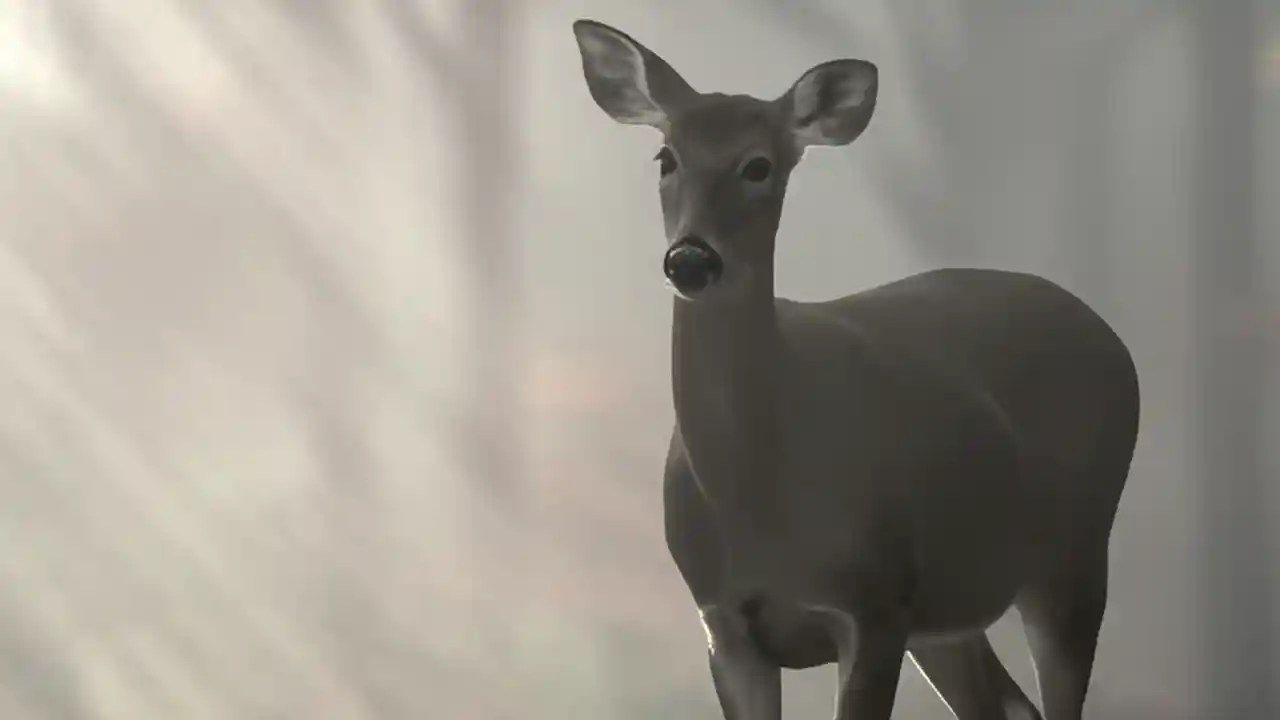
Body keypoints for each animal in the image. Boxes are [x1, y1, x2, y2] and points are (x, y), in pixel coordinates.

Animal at [571, 19, 1140, 720]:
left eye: (758, 165)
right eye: (666, 159)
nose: (691, 260)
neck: (761, 504)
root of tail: (1111, 335)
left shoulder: (872, 606)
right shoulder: (723, 623)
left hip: (1075, 550)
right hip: (947, 613)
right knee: (1004, 705)